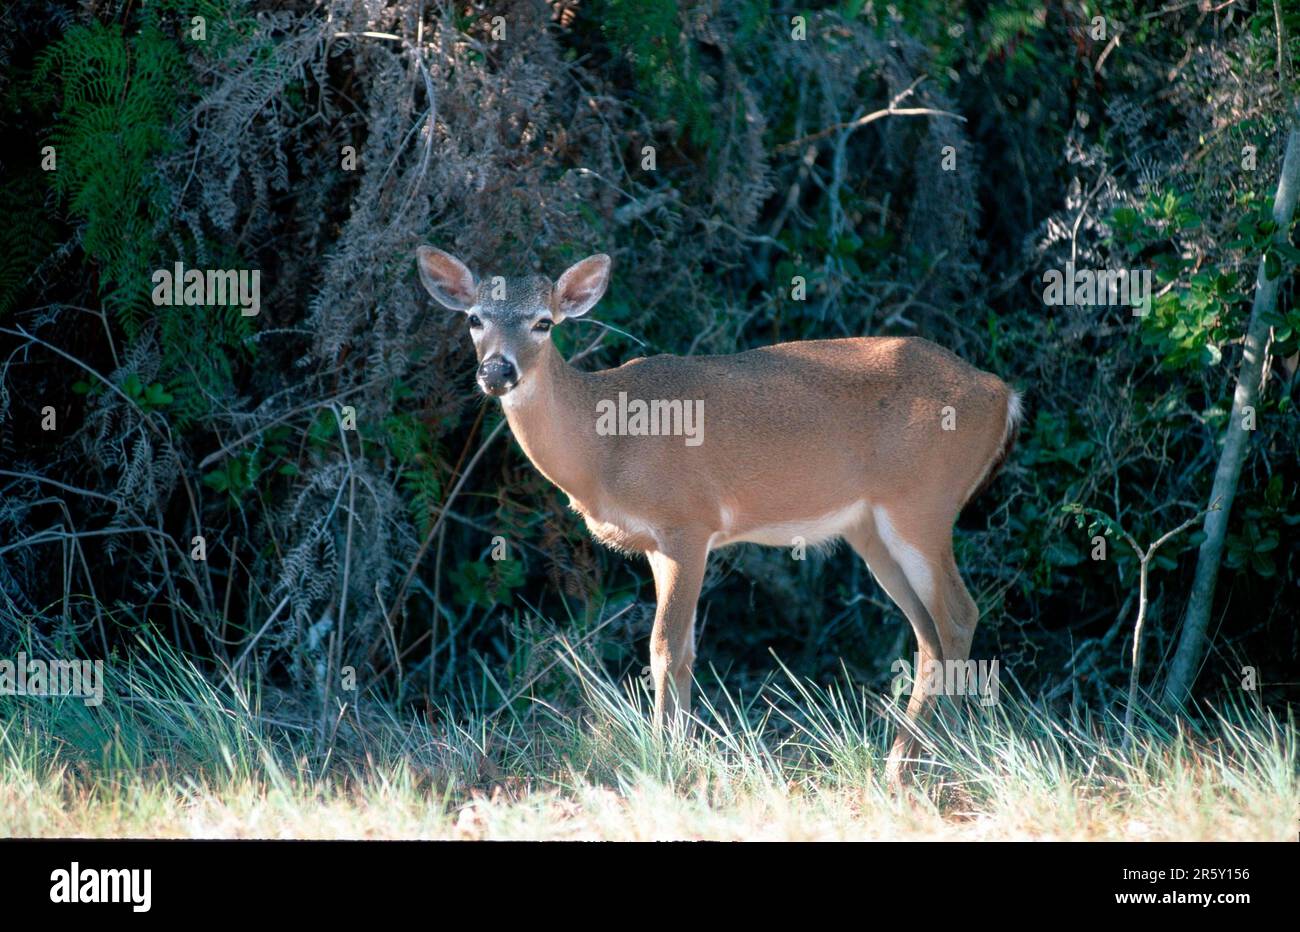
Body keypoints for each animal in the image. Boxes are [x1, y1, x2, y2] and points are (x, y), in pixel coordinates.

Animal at [417, 245, 1022, 786]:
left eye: (544, 322)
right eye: (474, 319)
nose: (497, 371)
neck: (606, 444)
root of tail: (1003, 393)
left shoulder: (689, 522)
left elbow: (664, 647)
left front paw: (664, 761)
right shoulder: (656, 546)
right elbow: (681, 649)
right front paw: (673, 751)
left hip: (922, 504)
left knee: (959, 614)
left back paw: (937, 761)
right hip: (870, 529)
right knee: (929, 635)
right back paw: (904, 762)